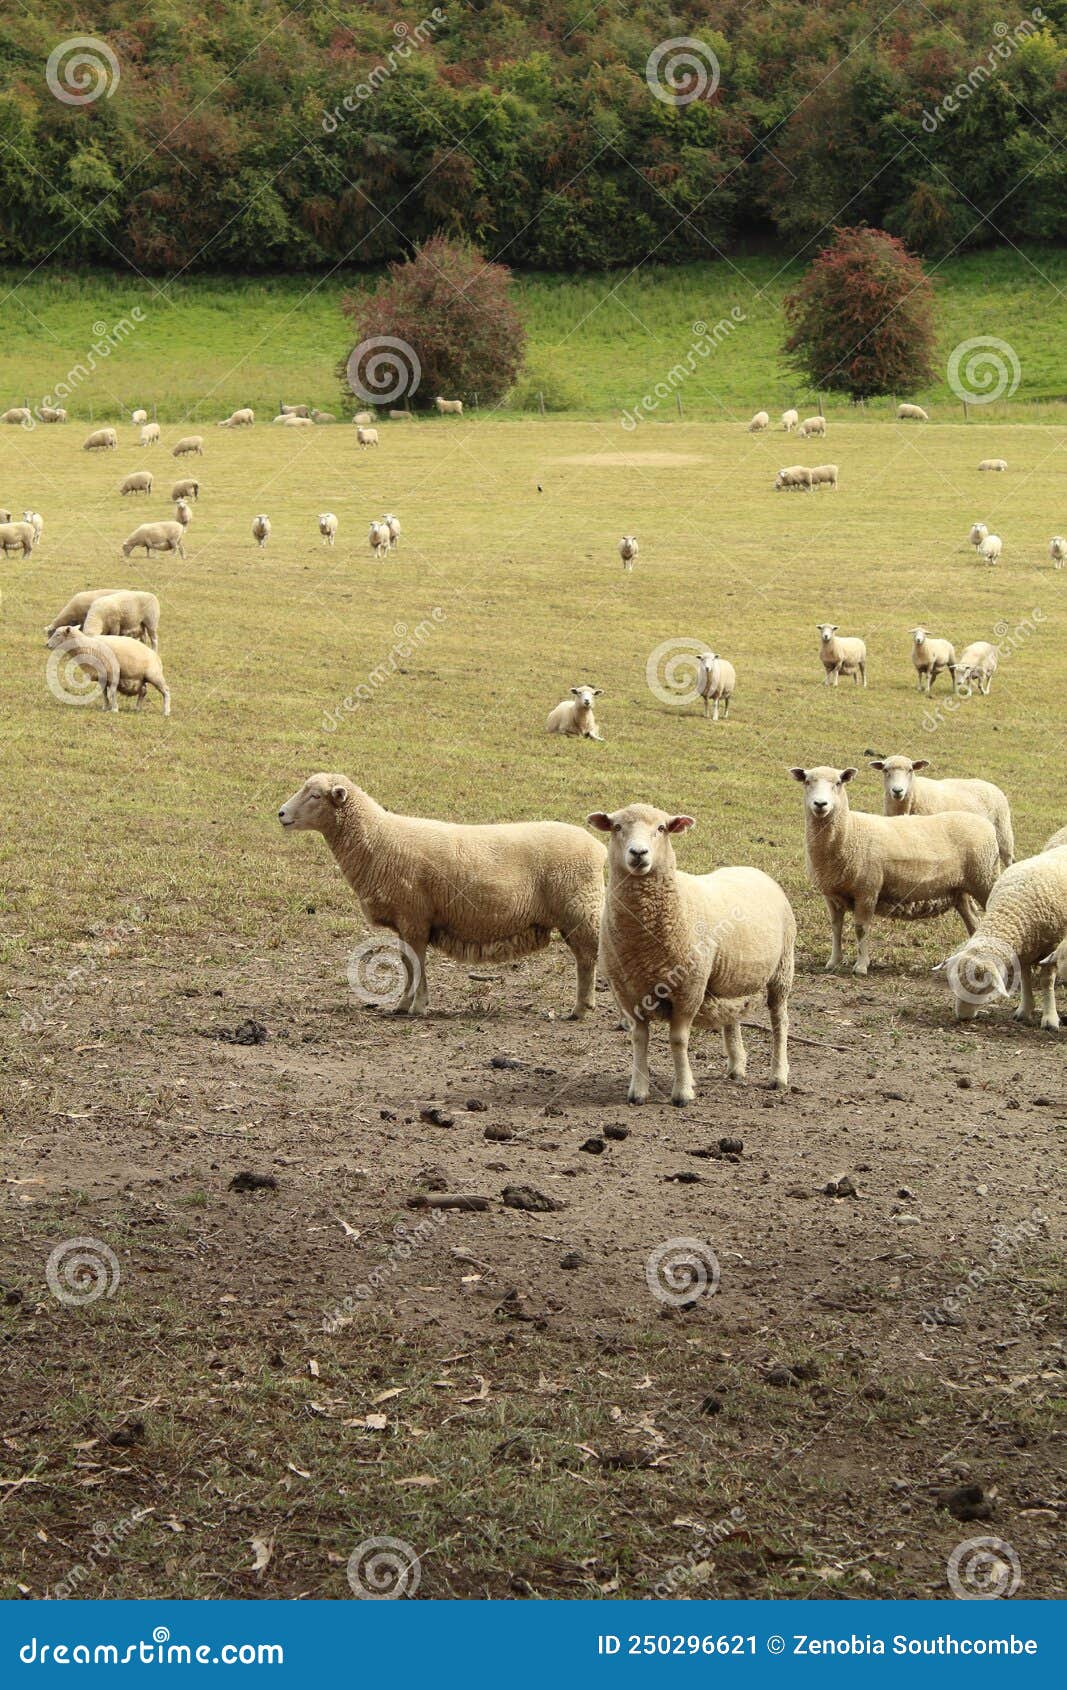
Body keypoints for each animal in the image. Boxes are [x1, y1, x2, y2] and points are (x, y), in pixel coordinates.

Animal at [277, 774, 606, 1018]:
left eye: (315, 796)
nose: (280, 814)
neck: (379, 839)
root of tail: (597, 847)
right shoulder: (407, 921)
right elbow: (408, 963)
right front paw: (404, 1005)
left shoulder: (414, 917)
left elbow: (415, 964)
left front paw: (416, 1006)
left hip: (580, 910)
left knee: (588, 958)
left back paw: (581, 1009)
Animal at [587, 805, 795, 1101]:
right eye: (617, 827)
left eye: (661, 828)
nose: (638, 853)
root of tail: (754, 870)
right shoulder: (627, 990)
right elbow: (639, 1038)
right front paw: (638, 1091)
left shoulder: (689, 988)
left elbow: (678, 1040)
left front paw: (683, 1092)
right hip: (731, 978)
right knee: (732, 1018)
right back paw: (736, 1067)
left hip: (782, 969)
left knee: (779, 1020)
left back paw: (778, 1075)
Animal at [790, 765, 1001, 975]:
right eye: (807, 782)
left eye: (838, 783)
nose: (820, 804)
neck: (850, 831)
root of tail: (986, 824)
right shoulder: (831, 893)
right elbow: (836, 927)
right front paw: (833, 961)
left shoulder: (867, 890)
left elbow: (861, 928)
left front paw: (861, 966)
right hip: (959, 888)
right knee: (973, 921)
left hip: (985, 879)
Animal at [868, 755, 1014, 868]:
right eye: (885, 770)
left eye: (910, 770)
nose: (897, 791)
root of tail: (991, 785)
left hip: (1003, 832)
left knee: (1008, 859)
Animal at [935, 847, 1067, 1029]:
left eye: (982, 989)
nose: (962, 1017)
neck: (1011, 909)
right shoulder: (1025, 949)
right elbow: (1025, 978)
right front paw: (1024, 1010)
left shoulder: (1052, 947)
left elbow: (1046, 981)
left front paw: (1050, 1019)